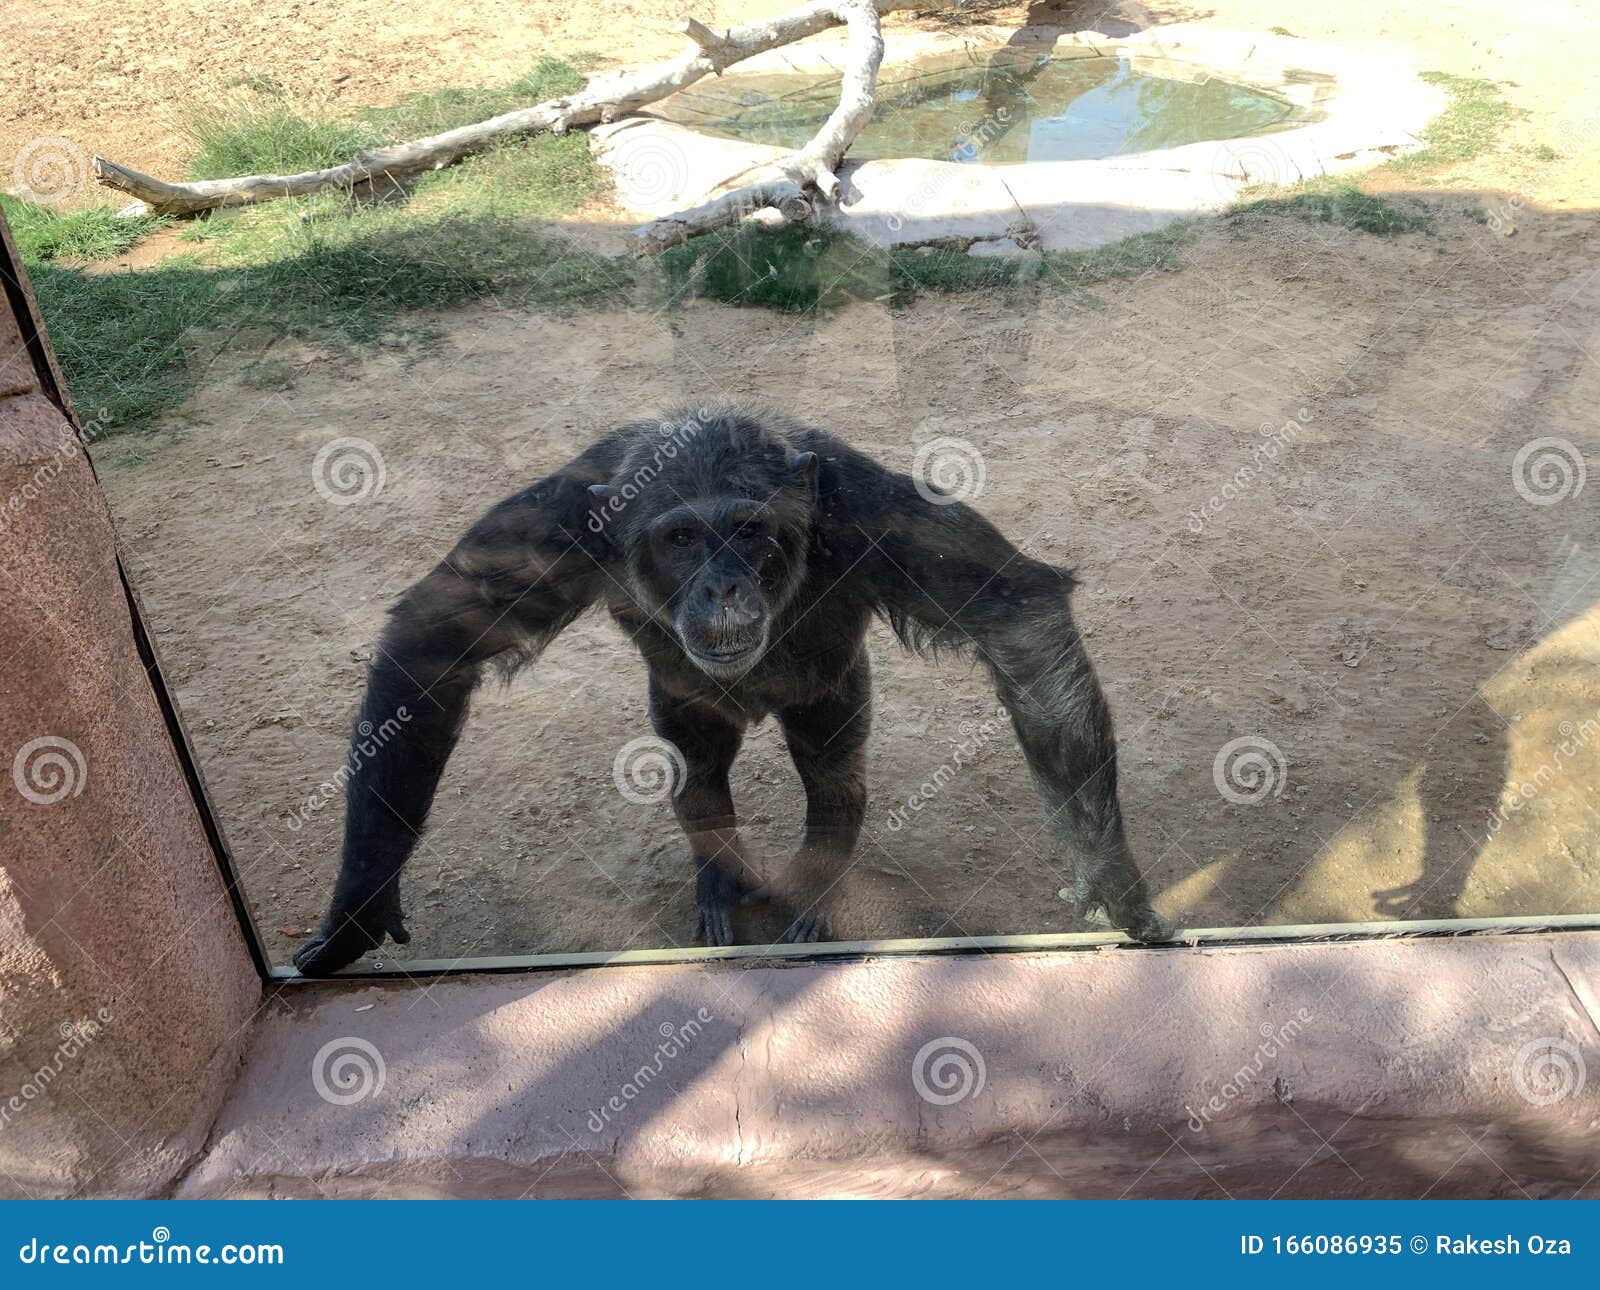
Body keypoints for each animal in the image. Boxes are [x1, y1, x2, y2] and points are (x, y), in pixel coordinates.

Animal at [293, 405, 1174, 974]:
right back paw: (720, 881)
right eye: (683, 537)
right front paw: (357, 909)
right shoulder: (556, 525)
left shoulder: (874, 512)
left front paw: (1114, 883)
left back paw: (816, 885)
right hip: (686, 706)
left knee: (832, 773)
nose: (721, 586)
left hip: (832, 696)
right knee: (699, 767)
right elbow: (437, 641)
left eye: (748, 531)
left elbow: (1012, 610)